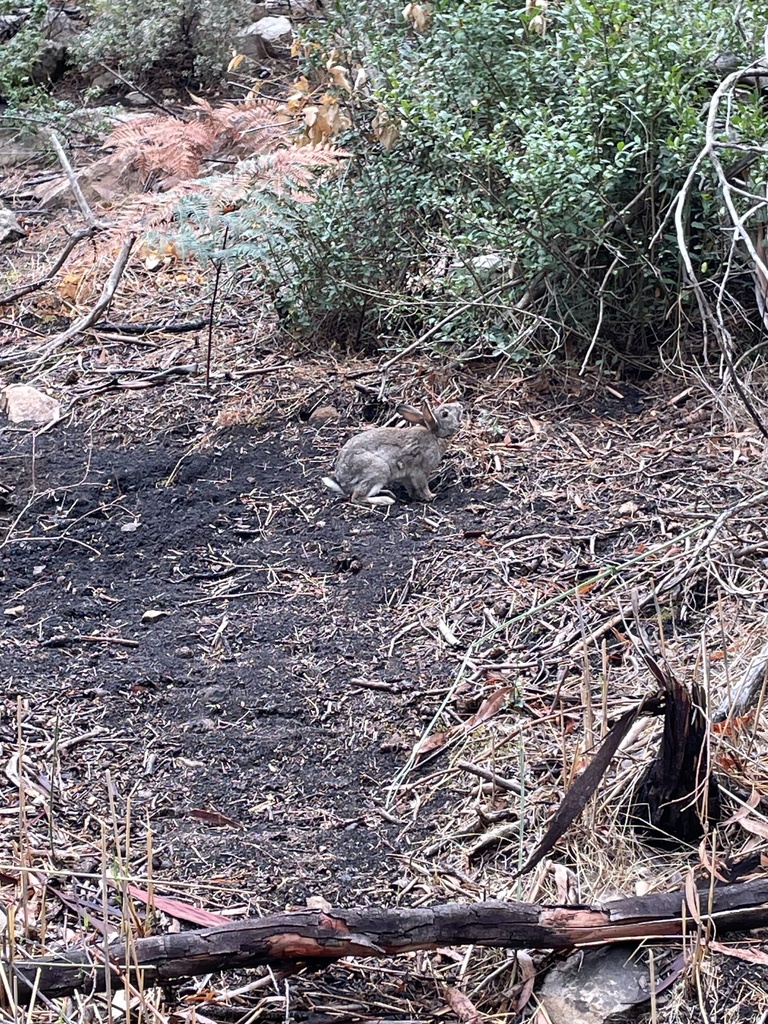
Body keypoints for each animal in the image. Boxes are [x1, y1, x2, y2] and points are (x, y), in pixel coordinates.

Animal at [322, 402, 463, 505]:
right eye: (445, 414)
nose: (460, 405)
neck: (435, 435)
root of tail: (342, 482)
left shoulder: (407, 476)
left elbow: (410, 487)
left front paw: (414, 497)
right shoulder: (420, 471)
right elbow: (423, 486)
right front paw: (431, 496)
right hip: (377, 470)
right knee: (357, 497)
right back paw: (386, 500)